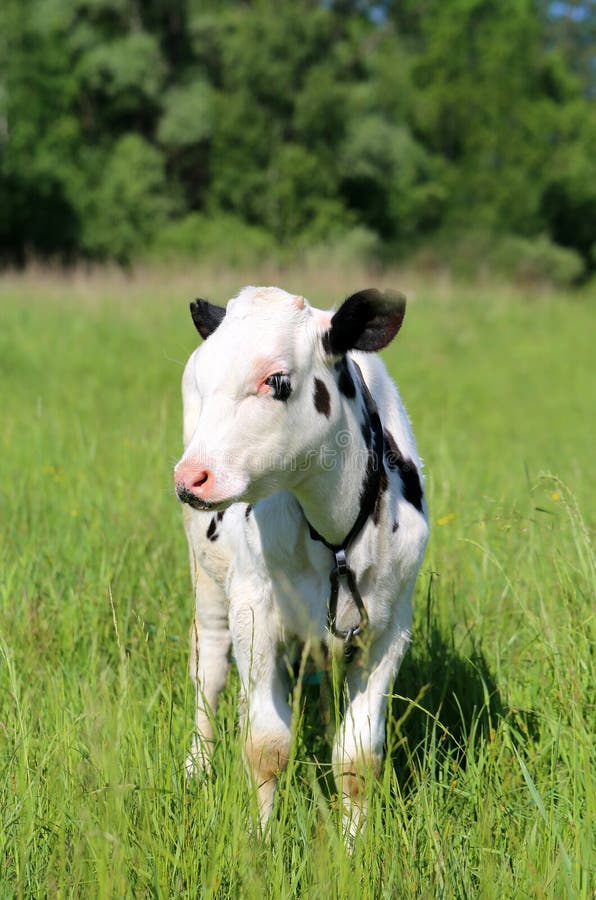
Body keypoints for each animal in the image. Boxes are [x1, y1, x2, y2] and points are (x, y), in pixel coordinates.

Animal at [174, 285, 429, 838]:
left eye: (277, 380)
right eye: (206, 379)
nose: (190, 477)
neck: (336, 534)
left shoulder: (390, 628)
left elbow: (358, 757)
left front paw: (355, 846)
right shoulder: (254, 608)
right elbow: (266, 745)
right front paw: (261, 841)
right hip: (209, 581)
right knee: (210, 672)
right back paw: (197, 765)